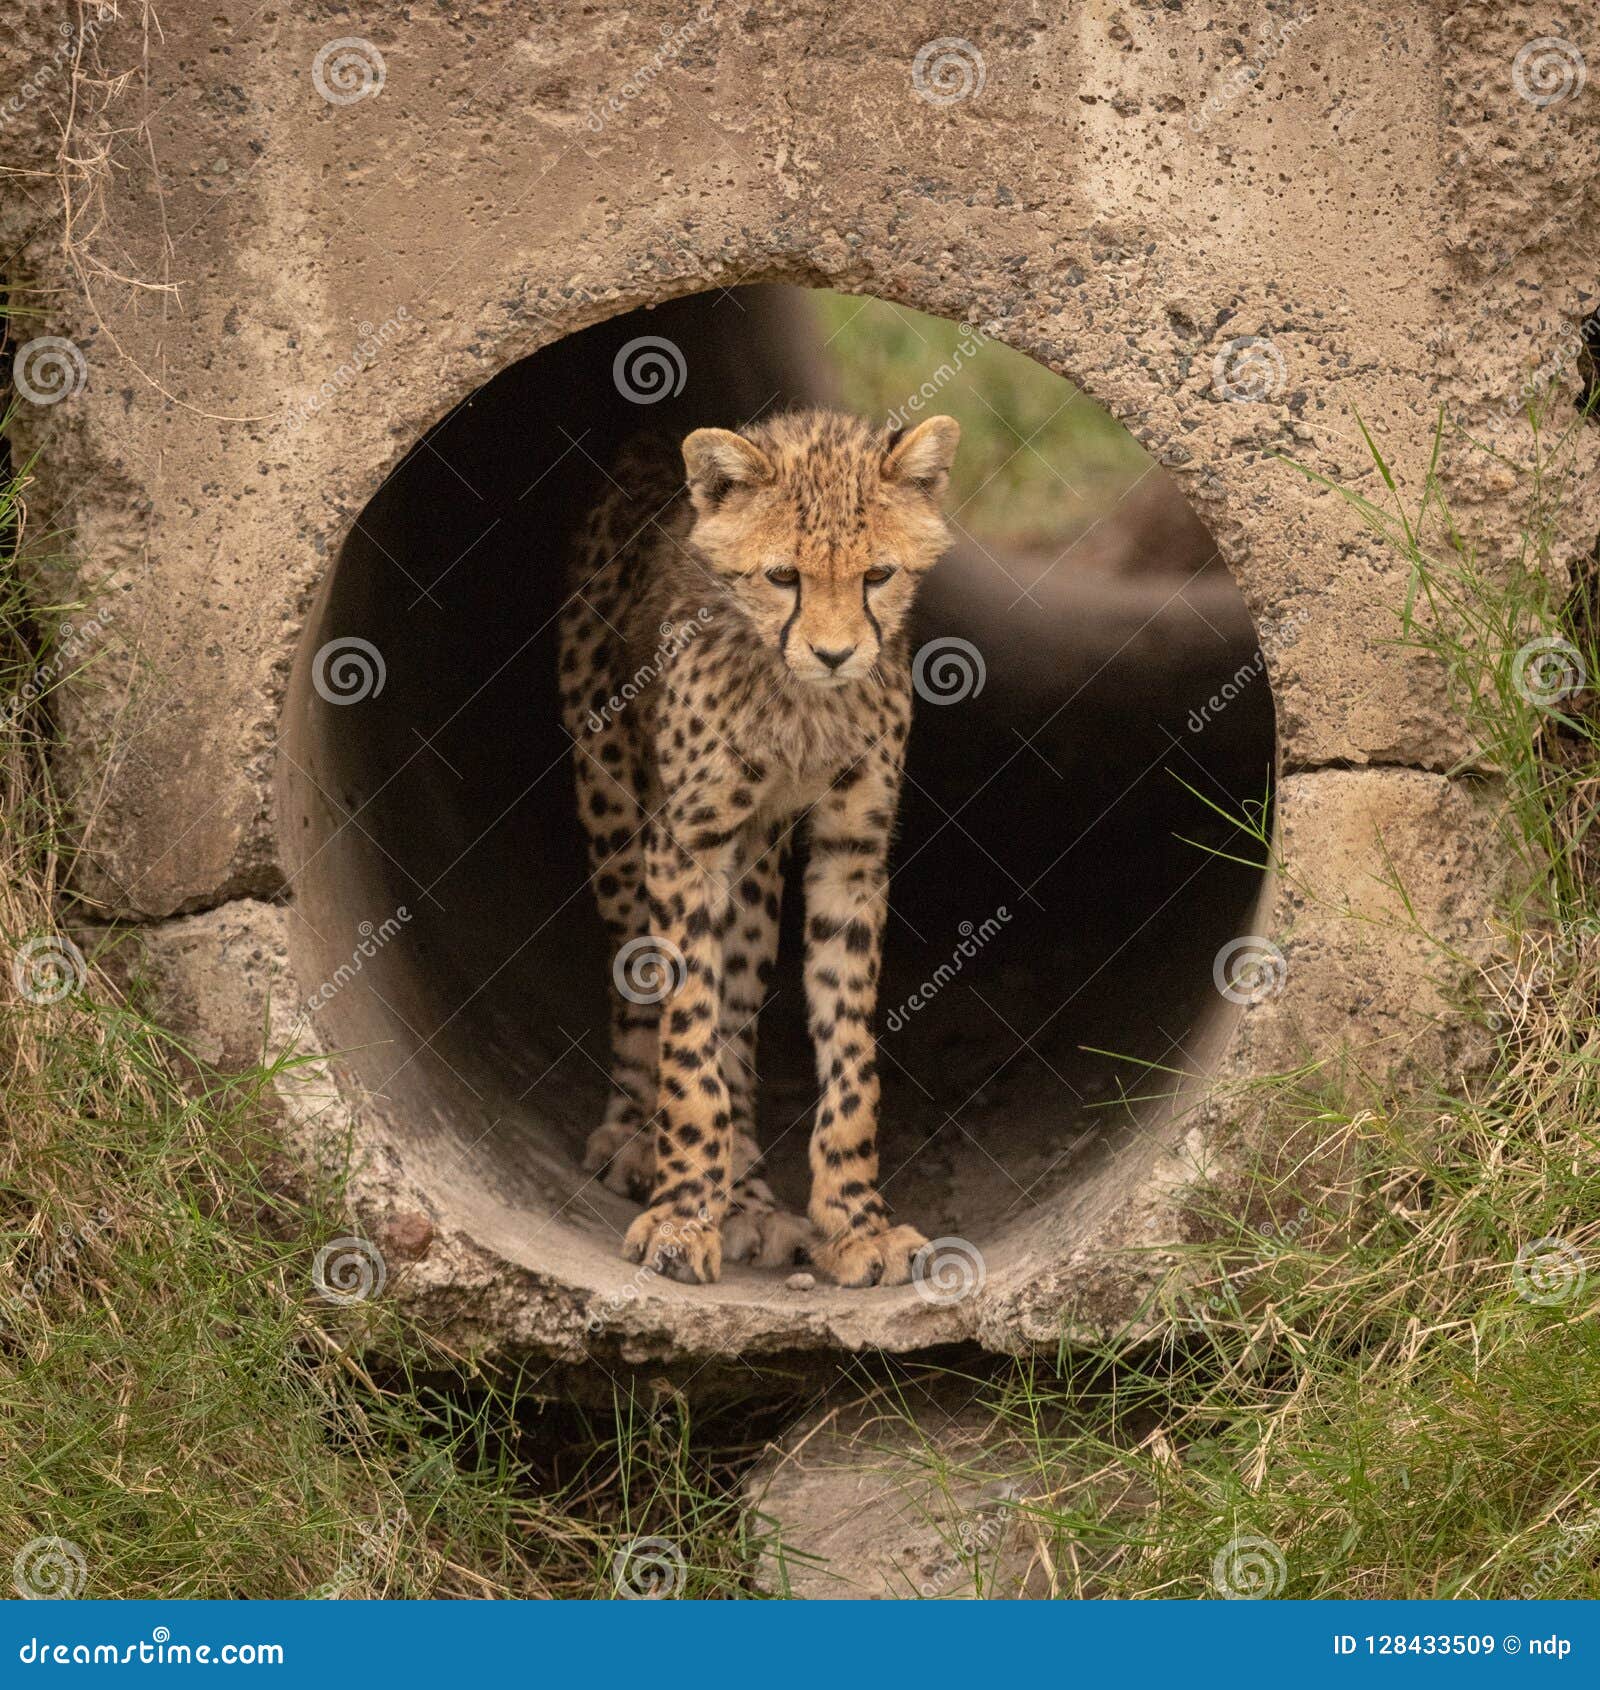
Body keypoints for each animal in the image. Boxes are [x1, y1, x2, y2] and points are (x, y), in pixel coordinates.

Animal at [557, 407, 961, 1288]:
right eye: (783, 577)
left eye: (878, 575)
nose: (836, 653)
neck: (800, 700)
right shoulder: (686, 846)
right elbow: (685, 1043)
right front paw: (680, 1214)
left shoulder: (851, 854)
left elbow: (848, 1050)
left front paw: (856, 1223)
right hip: (611, 810)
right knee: (640, 991)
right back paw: (635, 1138)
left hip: (755, 870)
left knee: (737, 1015)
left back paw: (746, 1199)